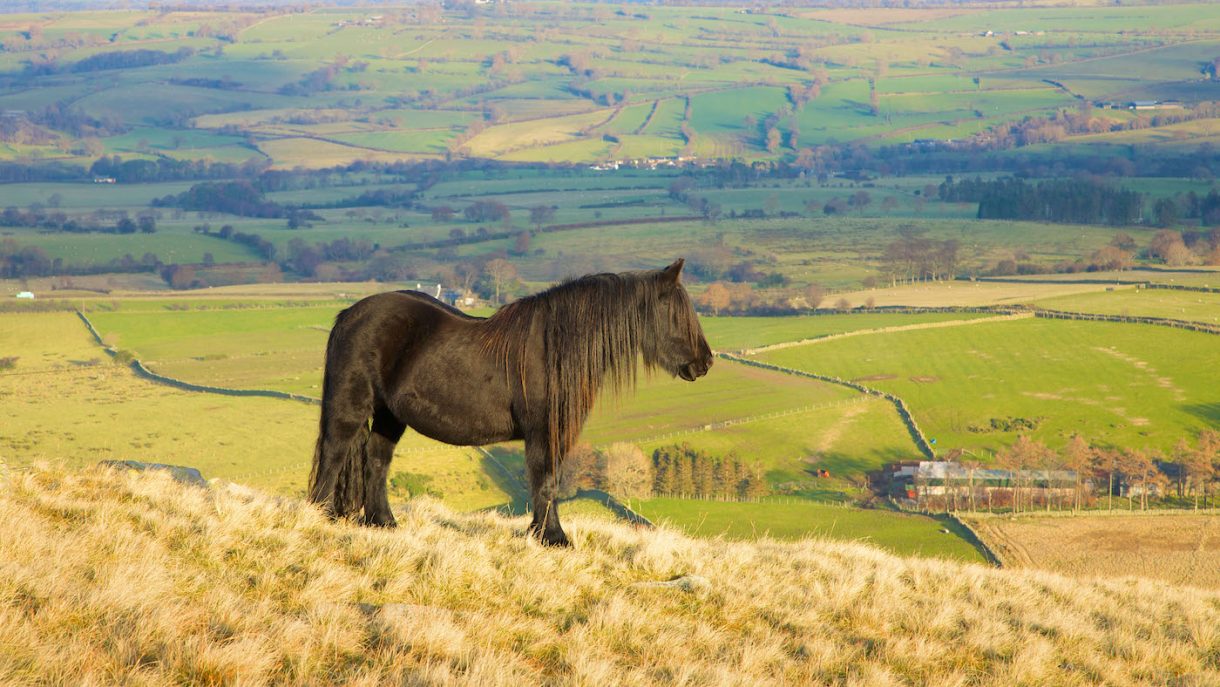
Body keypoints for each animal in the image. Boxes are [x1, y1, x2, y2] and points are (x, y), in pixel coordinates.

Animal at [307, 258, 713, 546]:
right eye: (676, 313)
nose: (705, 362)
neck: (555, 348)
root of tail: (349, 314)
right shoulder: (541, 432)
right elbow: (545, 482)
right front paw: (552, 538)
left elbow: (549, 481)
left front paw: (544, 533)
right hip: (350, 407)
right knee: (334, 454)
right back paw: (320, 517)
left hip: (390, 416)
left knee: (376, 462)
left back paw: (384, 523)